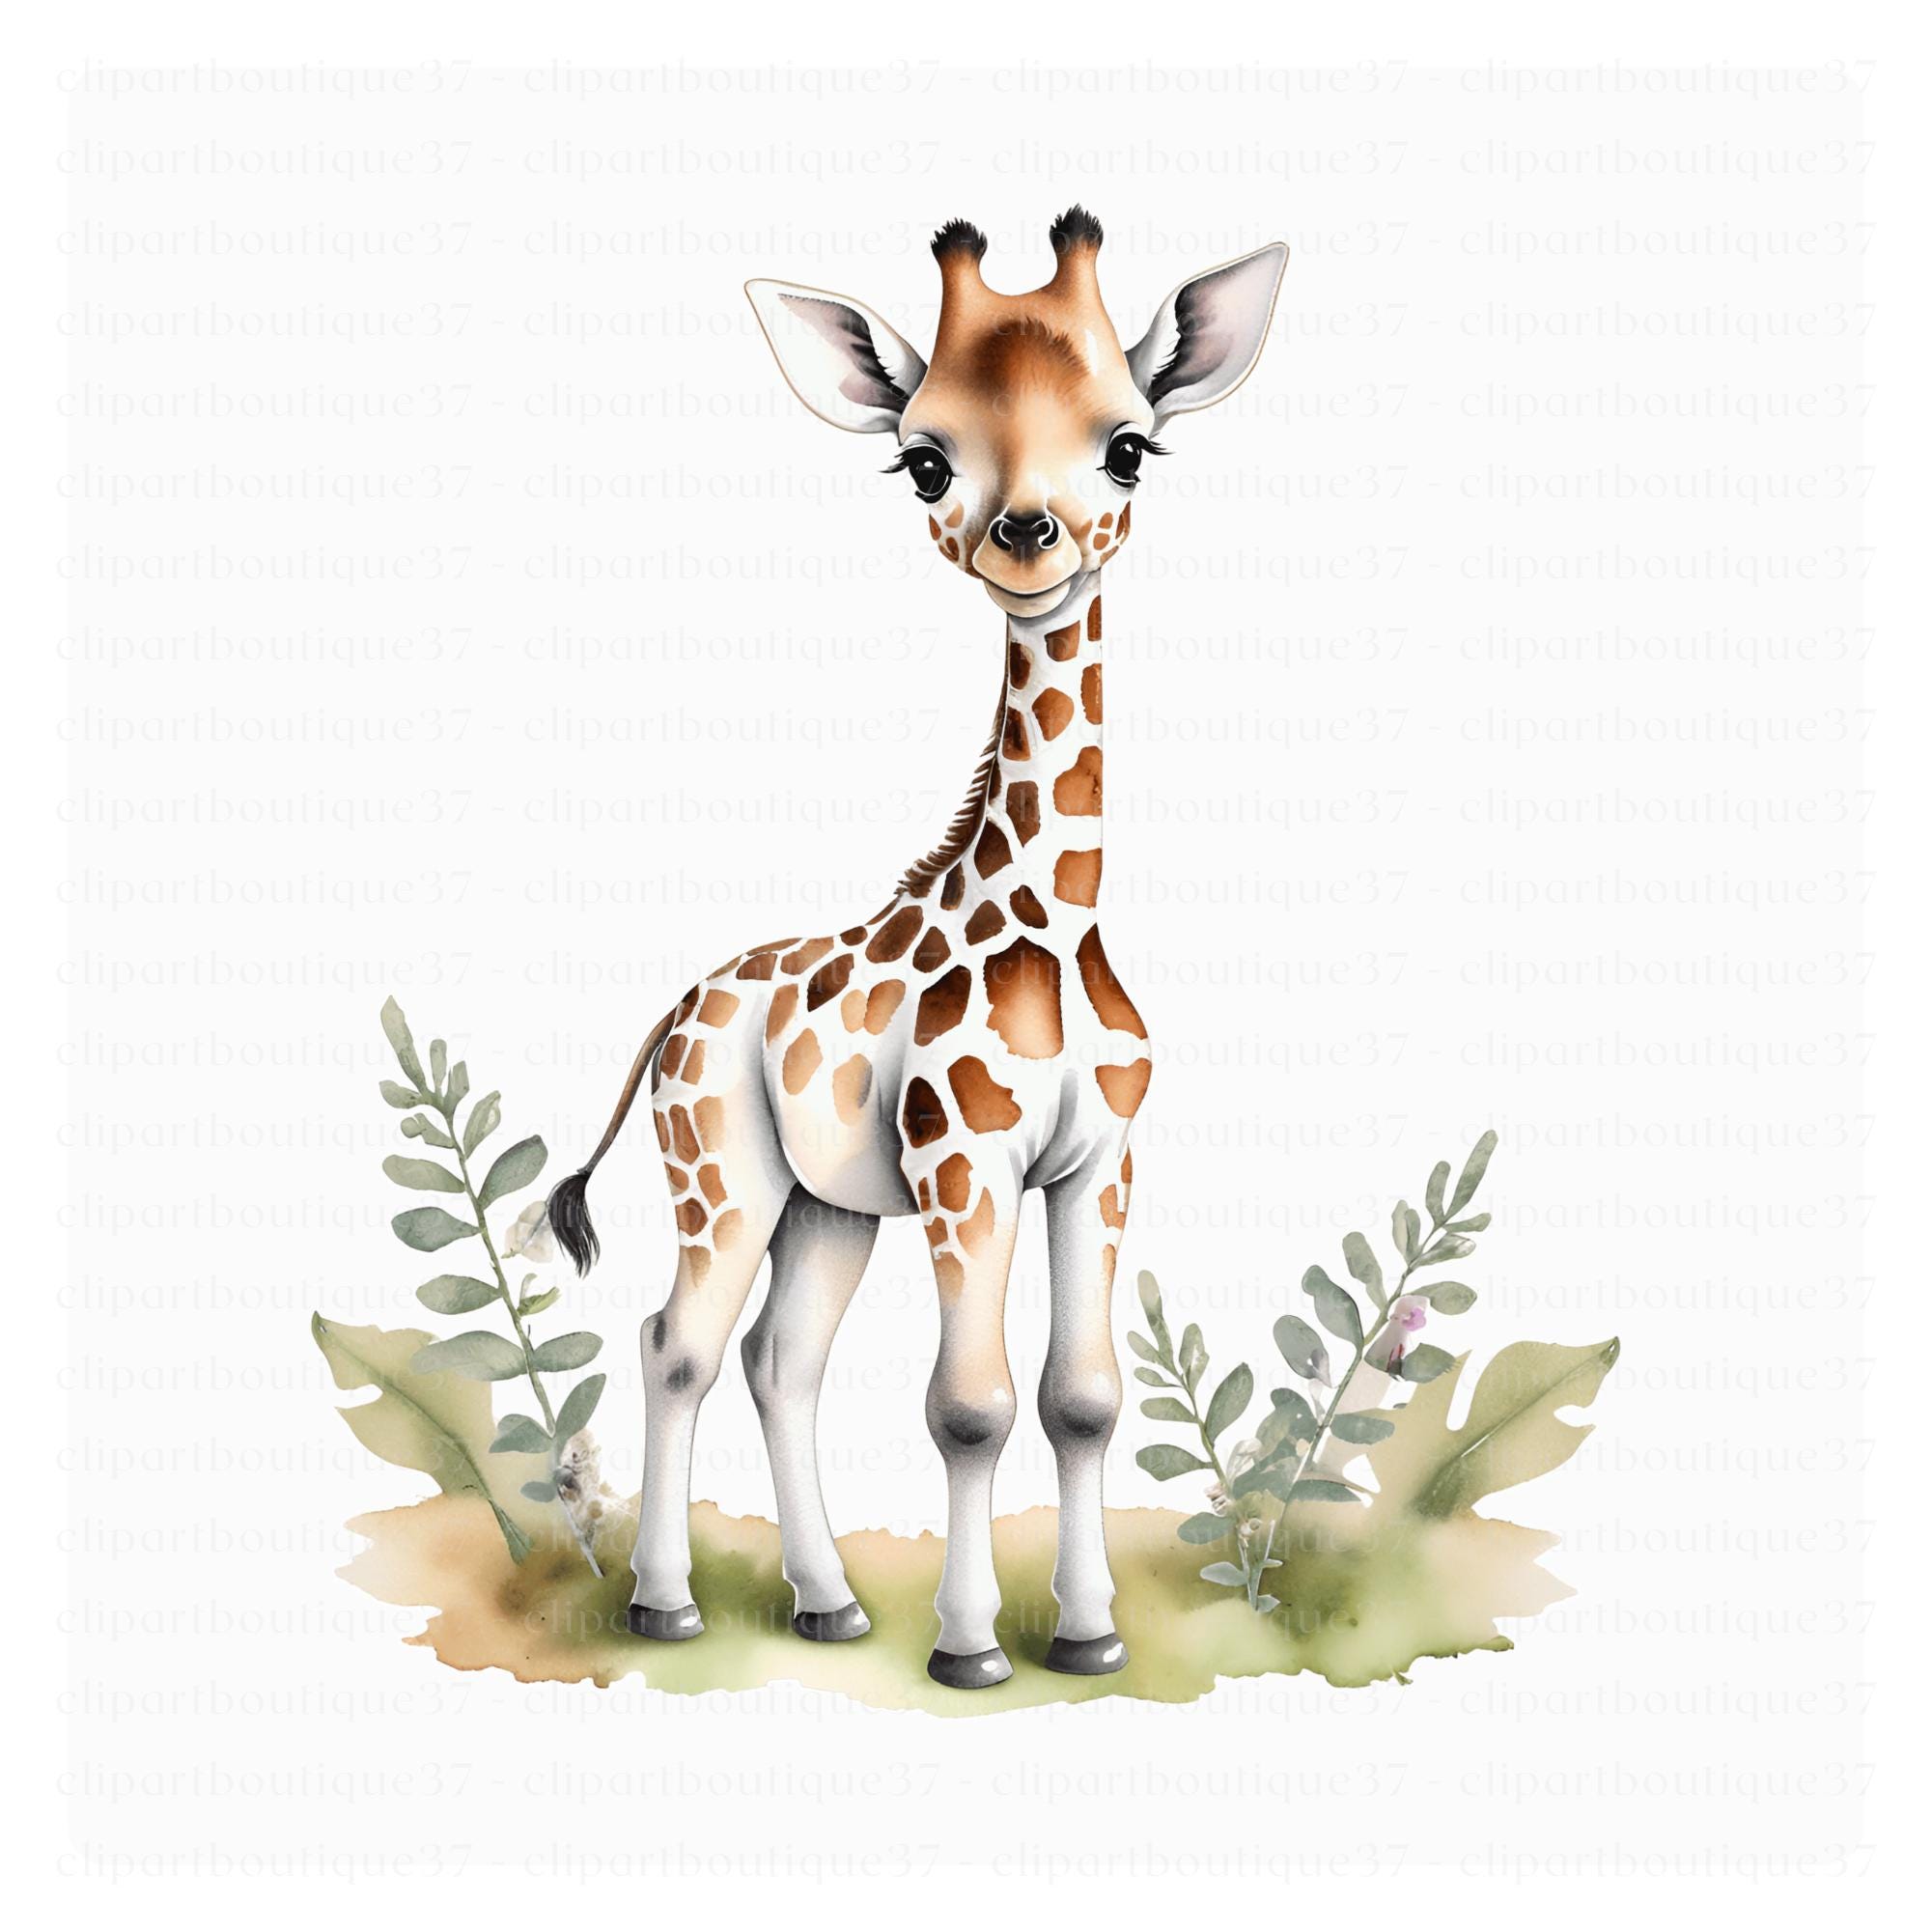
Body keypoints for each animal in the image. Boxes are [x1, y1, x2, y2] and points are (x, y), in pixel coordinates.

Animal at [546, 208, 1287, 1688]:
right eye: (924, 456)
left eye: (1130, 442)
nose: (1027, 535)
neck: (1056, 918)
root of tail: (672, 1013)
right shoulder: (966, 1169)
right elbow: (969, 1407)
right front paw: (969, 1647)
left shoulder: (1098, 1161)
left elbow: (1081, 1399)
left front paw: (1088, 1633)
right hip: (722, 1177)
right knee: (675, 1343)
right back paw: (666, 1603)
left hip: (825, 1206)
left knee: (779, 1360)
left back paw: (826, 1604)